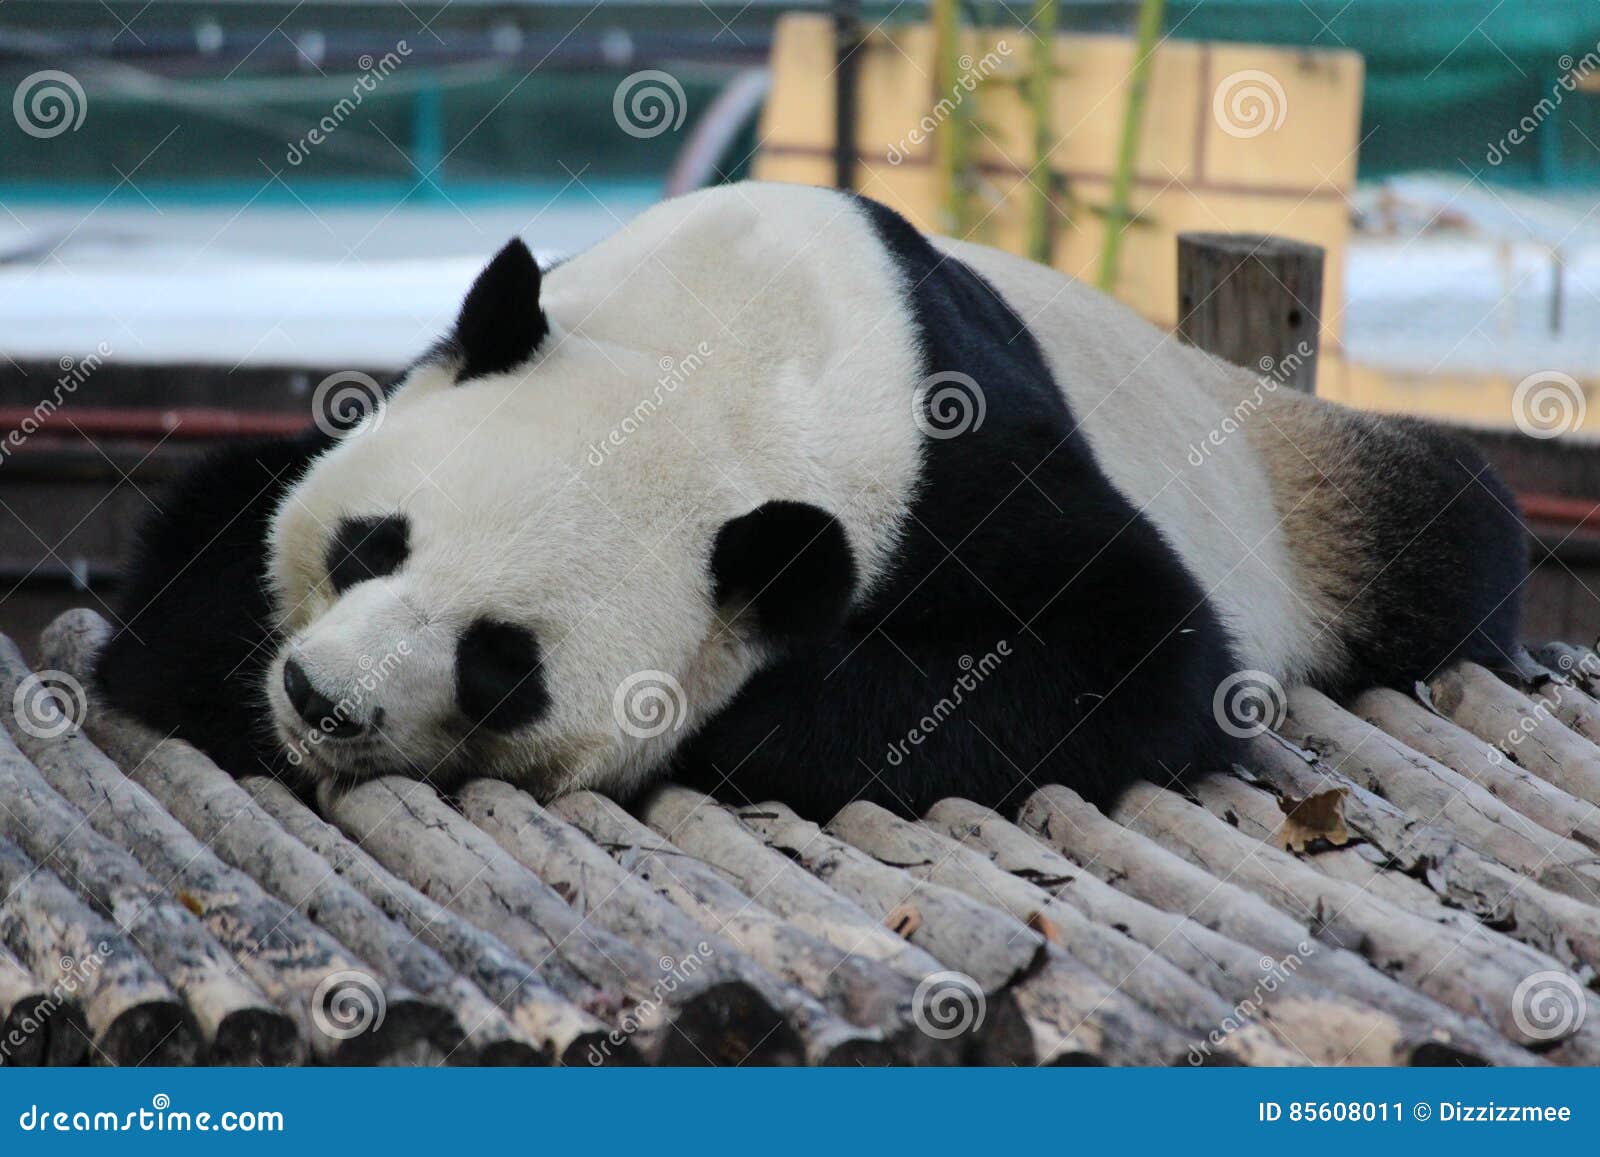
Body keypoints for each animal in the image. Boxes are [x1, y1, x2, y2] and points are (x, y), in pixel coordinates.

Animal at [95, 181, 1527, 819]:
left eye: (501, 663)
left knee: (1448, 528)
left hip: (1293, 490)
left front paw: (734, 725)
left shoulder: (963, 465)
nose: (321, 701)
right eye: (371, 544)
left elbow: (1130, 651)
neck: (717, 359)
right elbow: (221, 515)